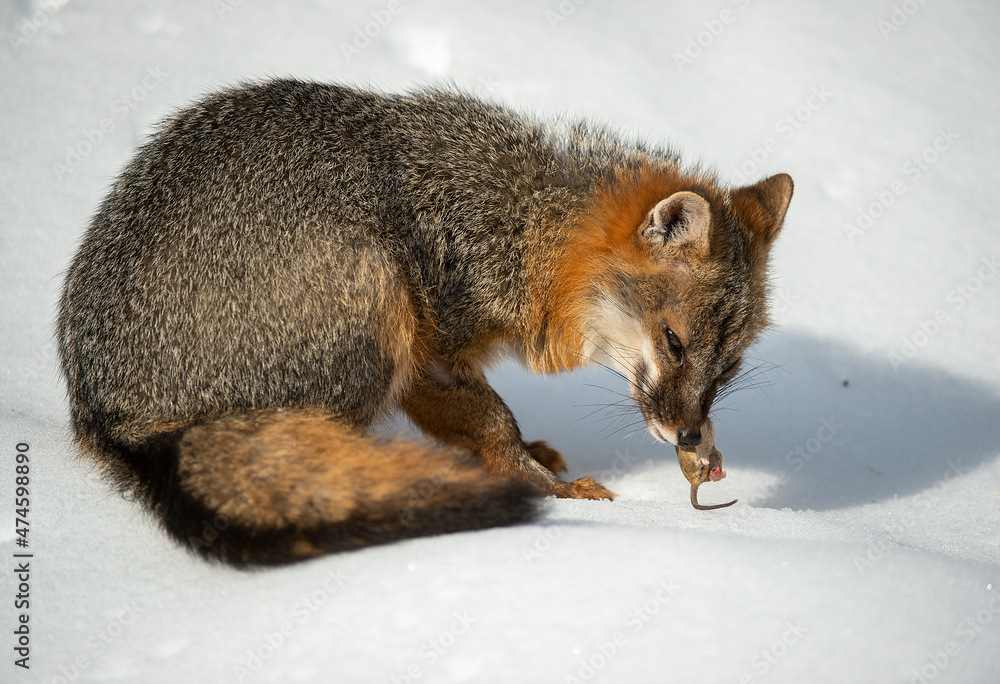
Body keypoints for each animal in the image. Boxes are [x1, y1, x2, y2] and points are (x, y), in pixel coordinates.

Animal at [57, 79, 792, 565]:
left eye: (727, 367)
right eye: (674, 343)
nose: (691, 434)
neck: (526, 225)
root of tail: (113, 413)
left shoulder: (430, 358)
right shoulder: (432, 345)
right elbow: (495, 426)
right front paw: (548, 490)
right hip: (375, 296)